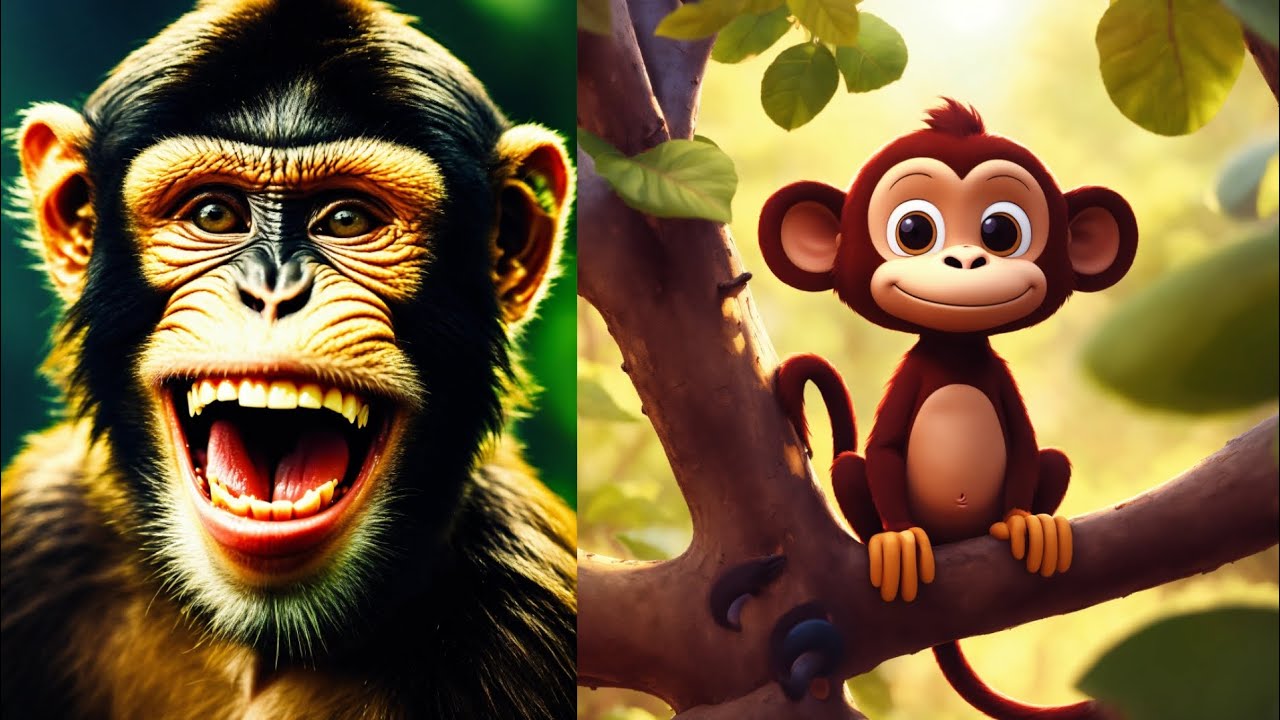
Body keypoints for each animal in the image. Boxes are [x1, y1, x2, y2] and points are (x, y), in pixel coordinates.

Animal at [758, 99, 1138, 719]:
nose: (964, 260)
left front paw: (1027, 525)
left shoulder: (999, 380)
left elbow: (1027, 447)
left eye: (1001, 229)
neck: (956, 350)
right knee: (853, 467)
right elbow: (885, 450)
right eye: (913, 230)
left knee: (1053, 459)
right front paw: (900, 542)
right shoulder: (913, 380)